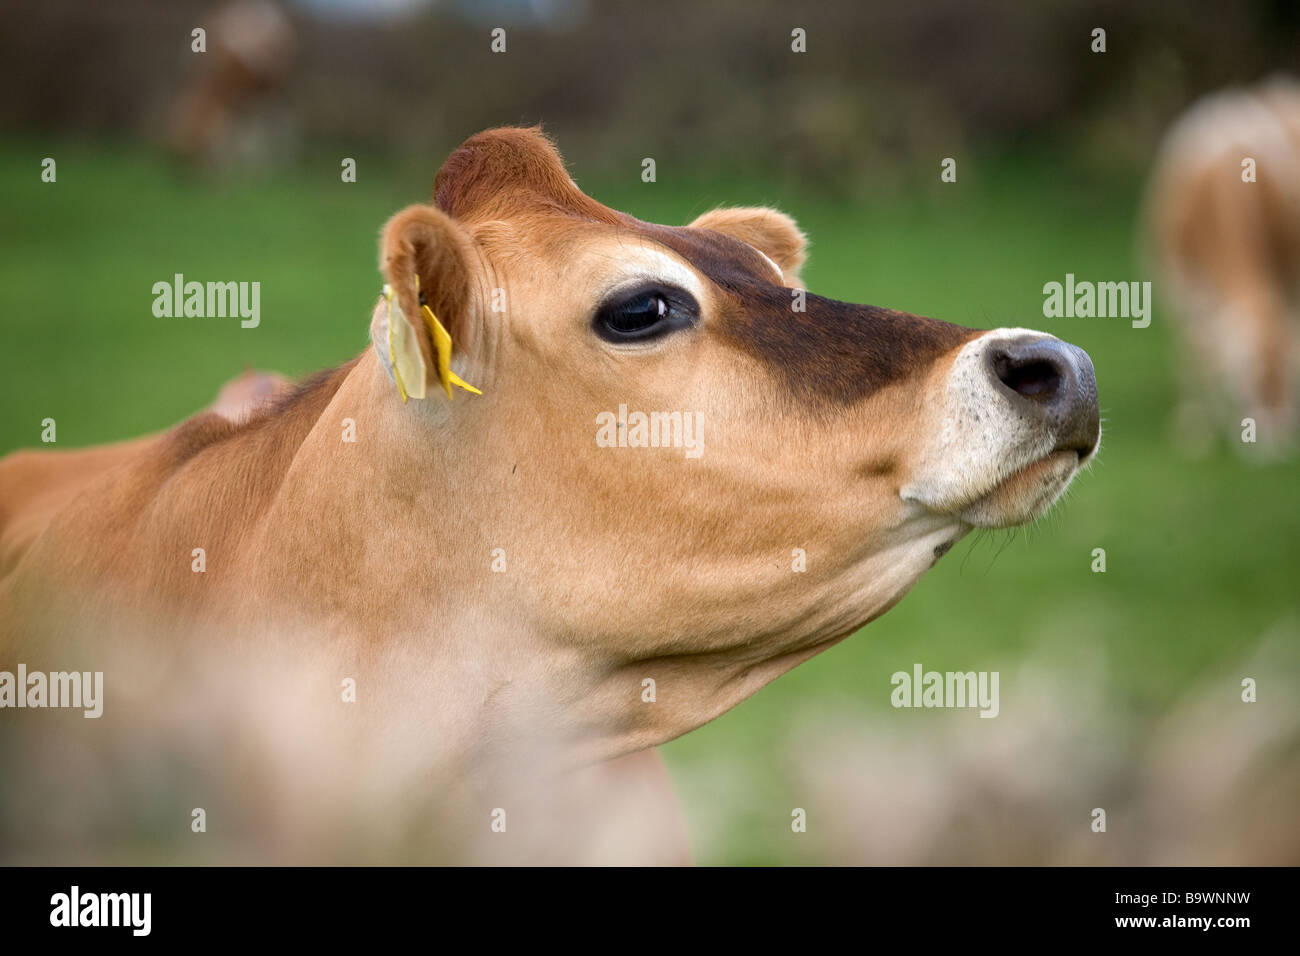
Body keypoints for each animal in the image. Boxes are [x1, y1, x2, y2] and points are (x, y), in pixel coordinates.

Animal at [1146, 74, 1300, 455]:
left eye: (1289, 377)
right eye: (1246, 380)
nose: (1275, 443)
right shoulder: (1181, 286)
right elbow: (1195, 350)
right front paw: (1196, 425)